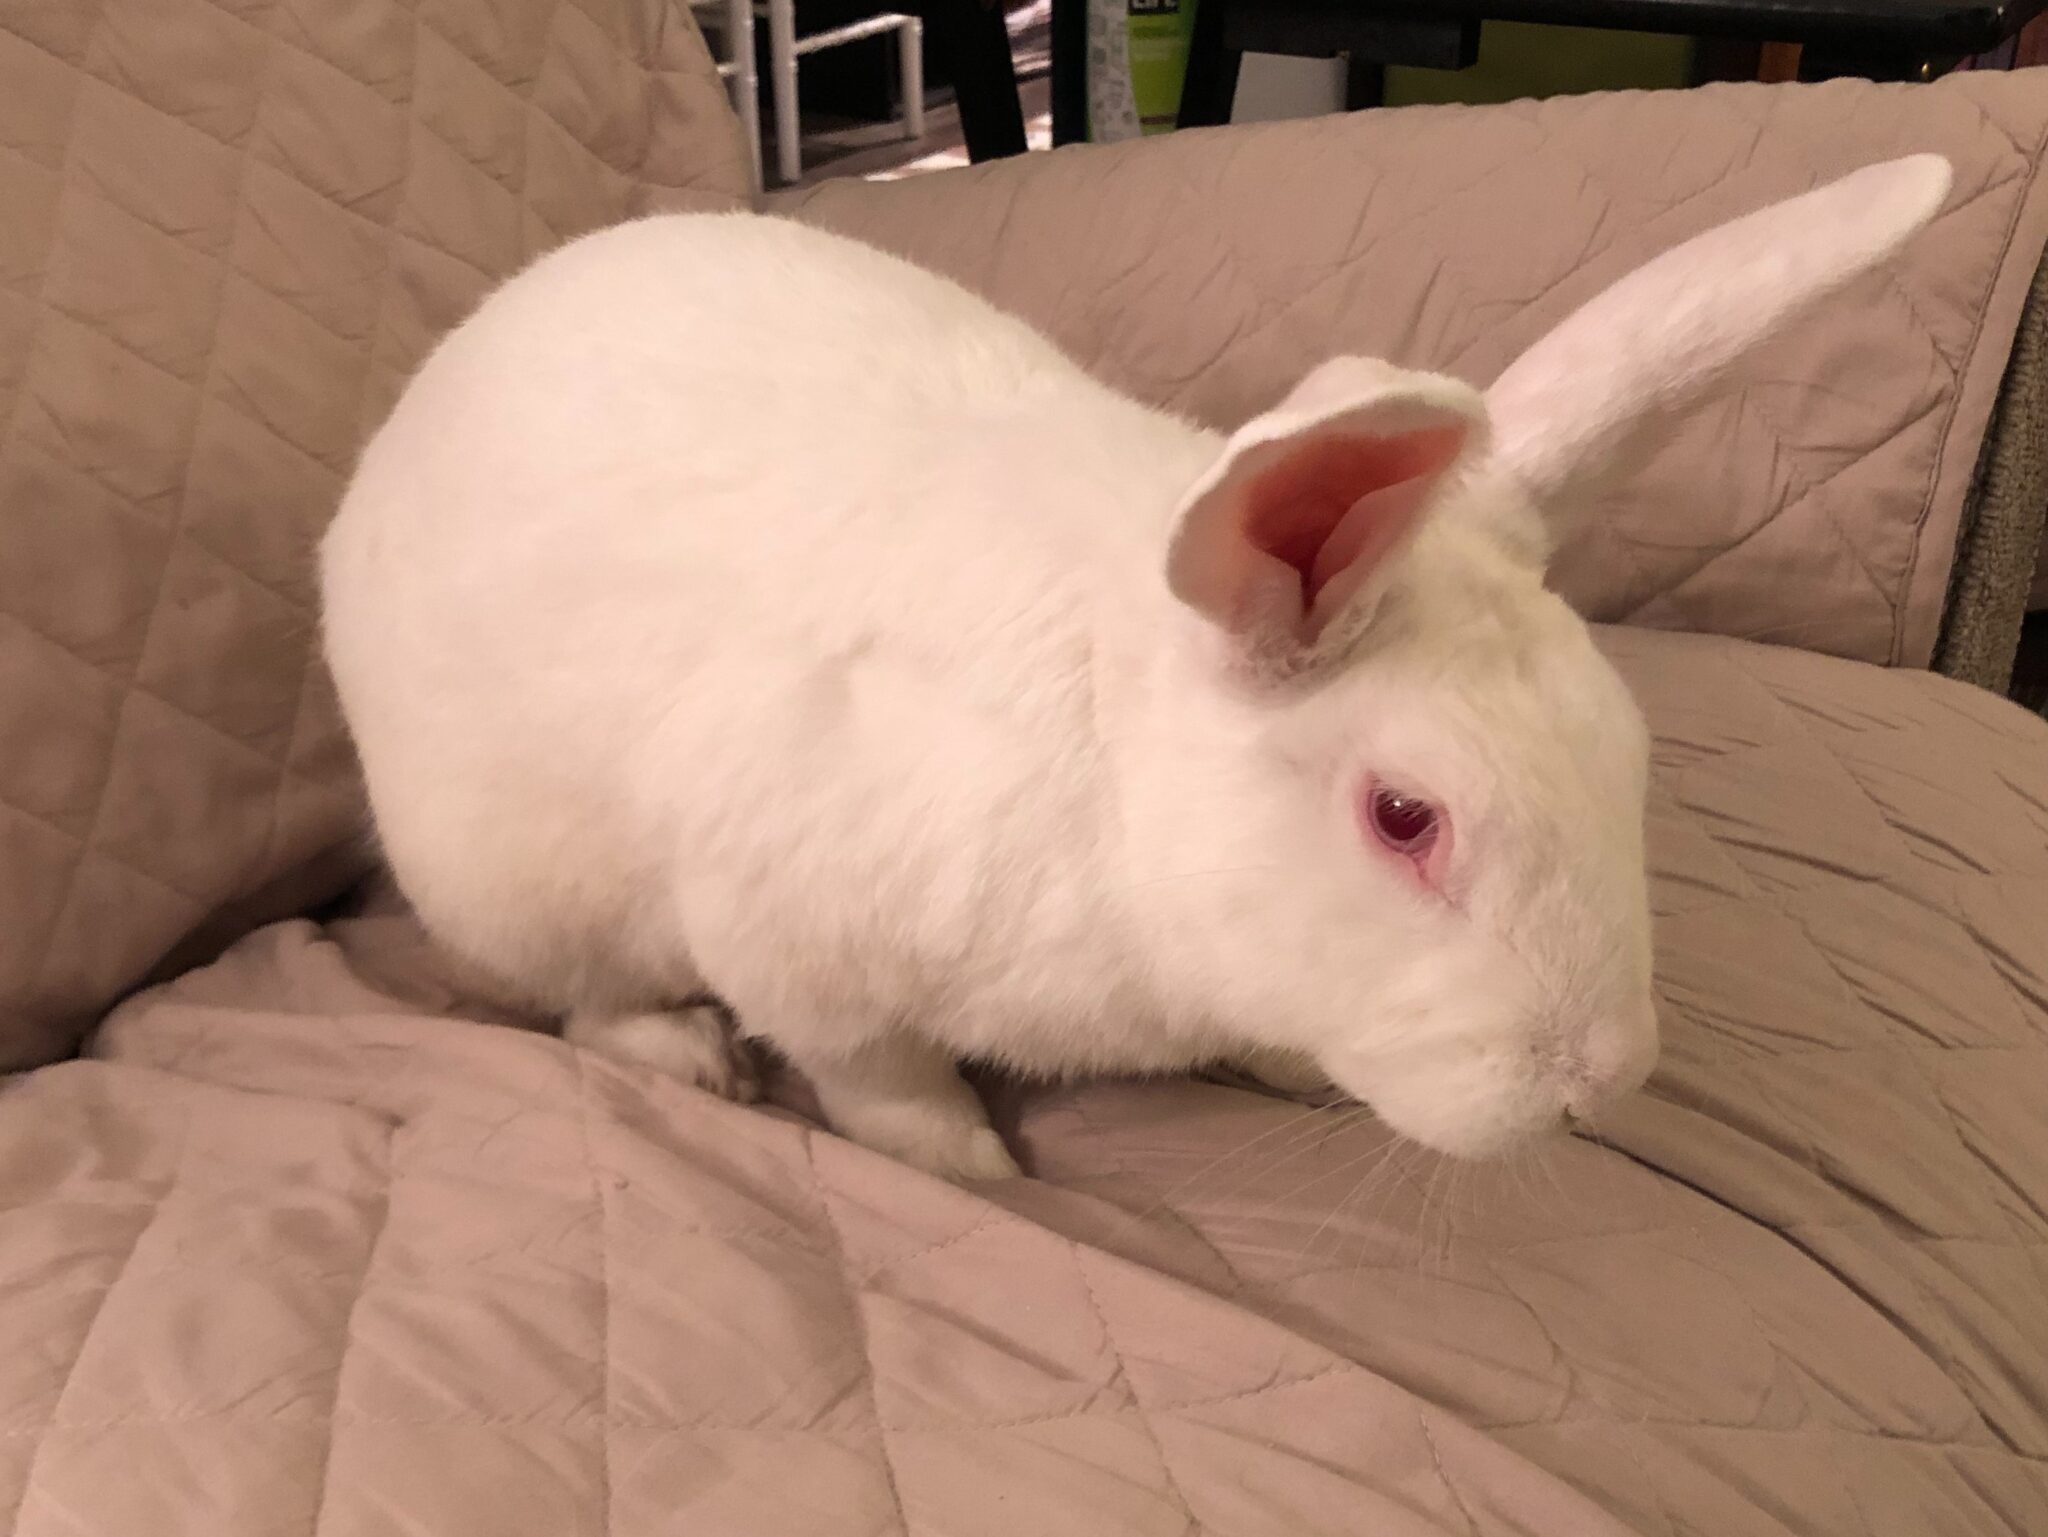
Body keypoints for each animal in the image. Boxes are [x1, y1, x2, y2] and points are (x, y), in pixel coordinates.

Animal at [320, 154, 1952, 1180]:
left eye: (1627, 749)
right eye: (1403, 818)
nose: (1601, 1083)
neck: (1123, 791)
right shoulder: (794, 930)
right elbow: (877, 1078)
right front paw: (975, 1165)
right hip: (518, 885)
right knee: (585, 1001)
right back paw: (692, 1055)